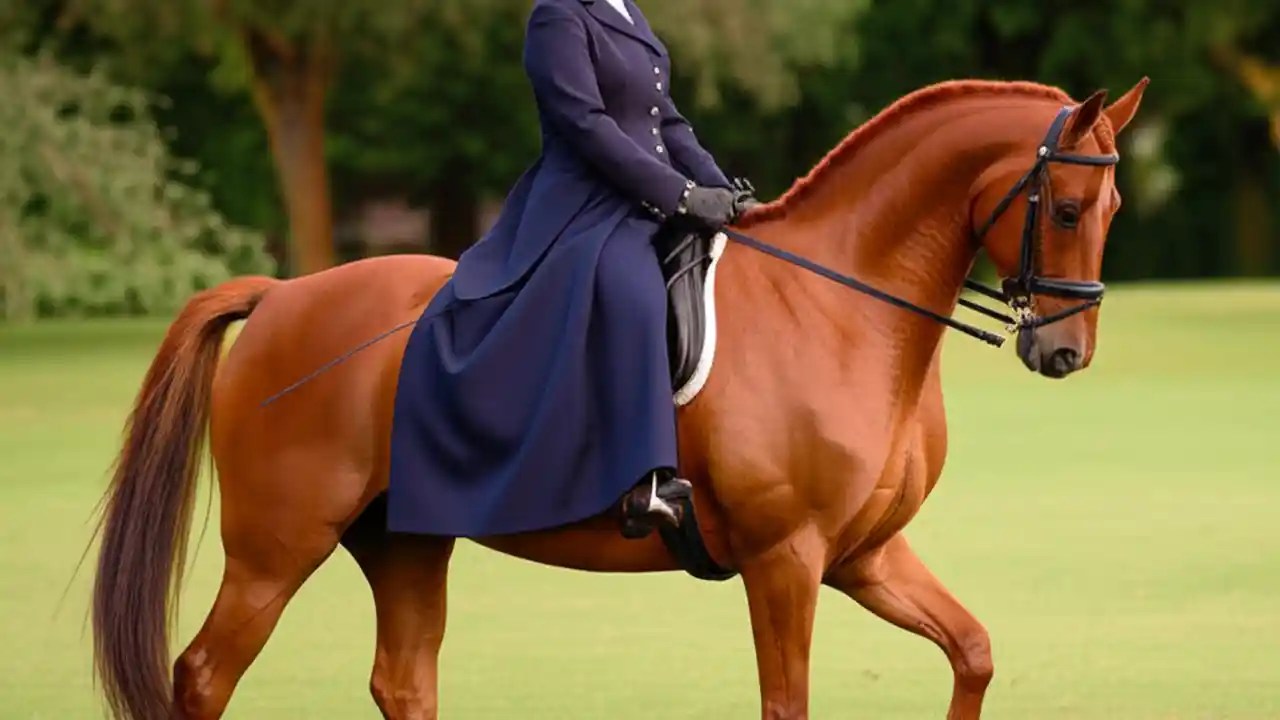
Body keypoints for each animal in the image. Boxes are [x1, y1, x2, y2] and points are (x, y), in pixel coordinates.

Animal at [88, 76, 1147, 720]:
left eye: (1113, 209)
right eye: (1063, 207)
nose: (1065, 351)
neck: (841, 306)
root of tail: (279, 296)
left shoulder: (865, 555)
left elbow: (972, 651)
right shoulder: (787, 560)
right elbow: (788, 701)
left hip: (401, 541)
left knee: (403, 681)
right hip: (277, 548)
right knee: (204, 676)